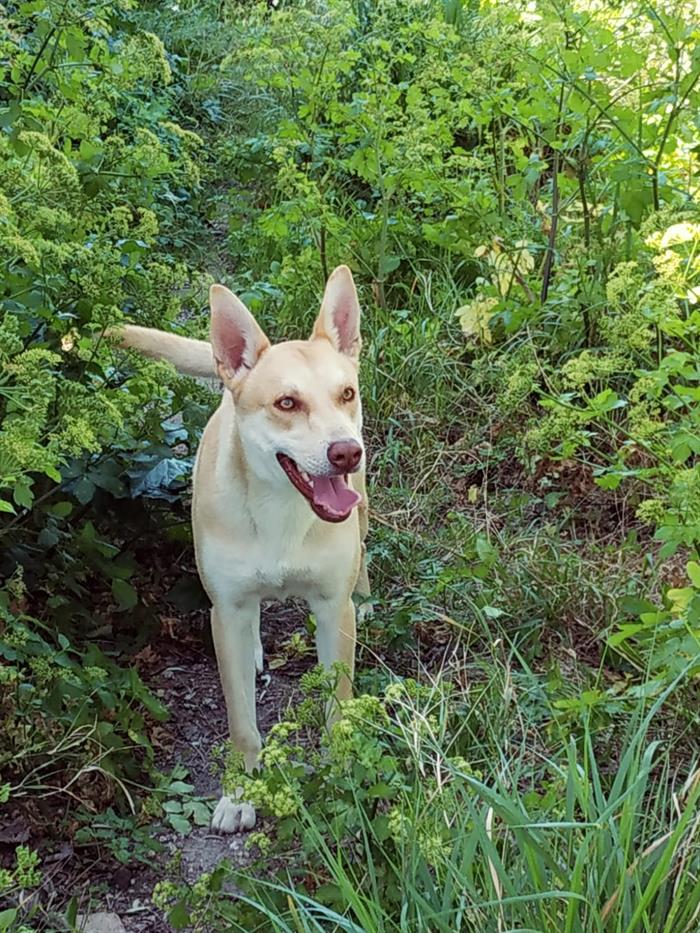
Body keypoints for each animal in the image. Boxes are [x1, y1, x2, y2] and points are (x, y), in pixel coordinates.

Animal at [112, 268, 370, 832]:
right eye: (287, 403)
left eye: (346, 393)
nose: (346, 451)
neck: (281, 510)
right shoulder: (226, 610)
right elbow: (241, 722)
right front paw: (238, 793)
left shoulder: (330, 610)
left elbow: (338, 707)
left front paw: (343, 778)